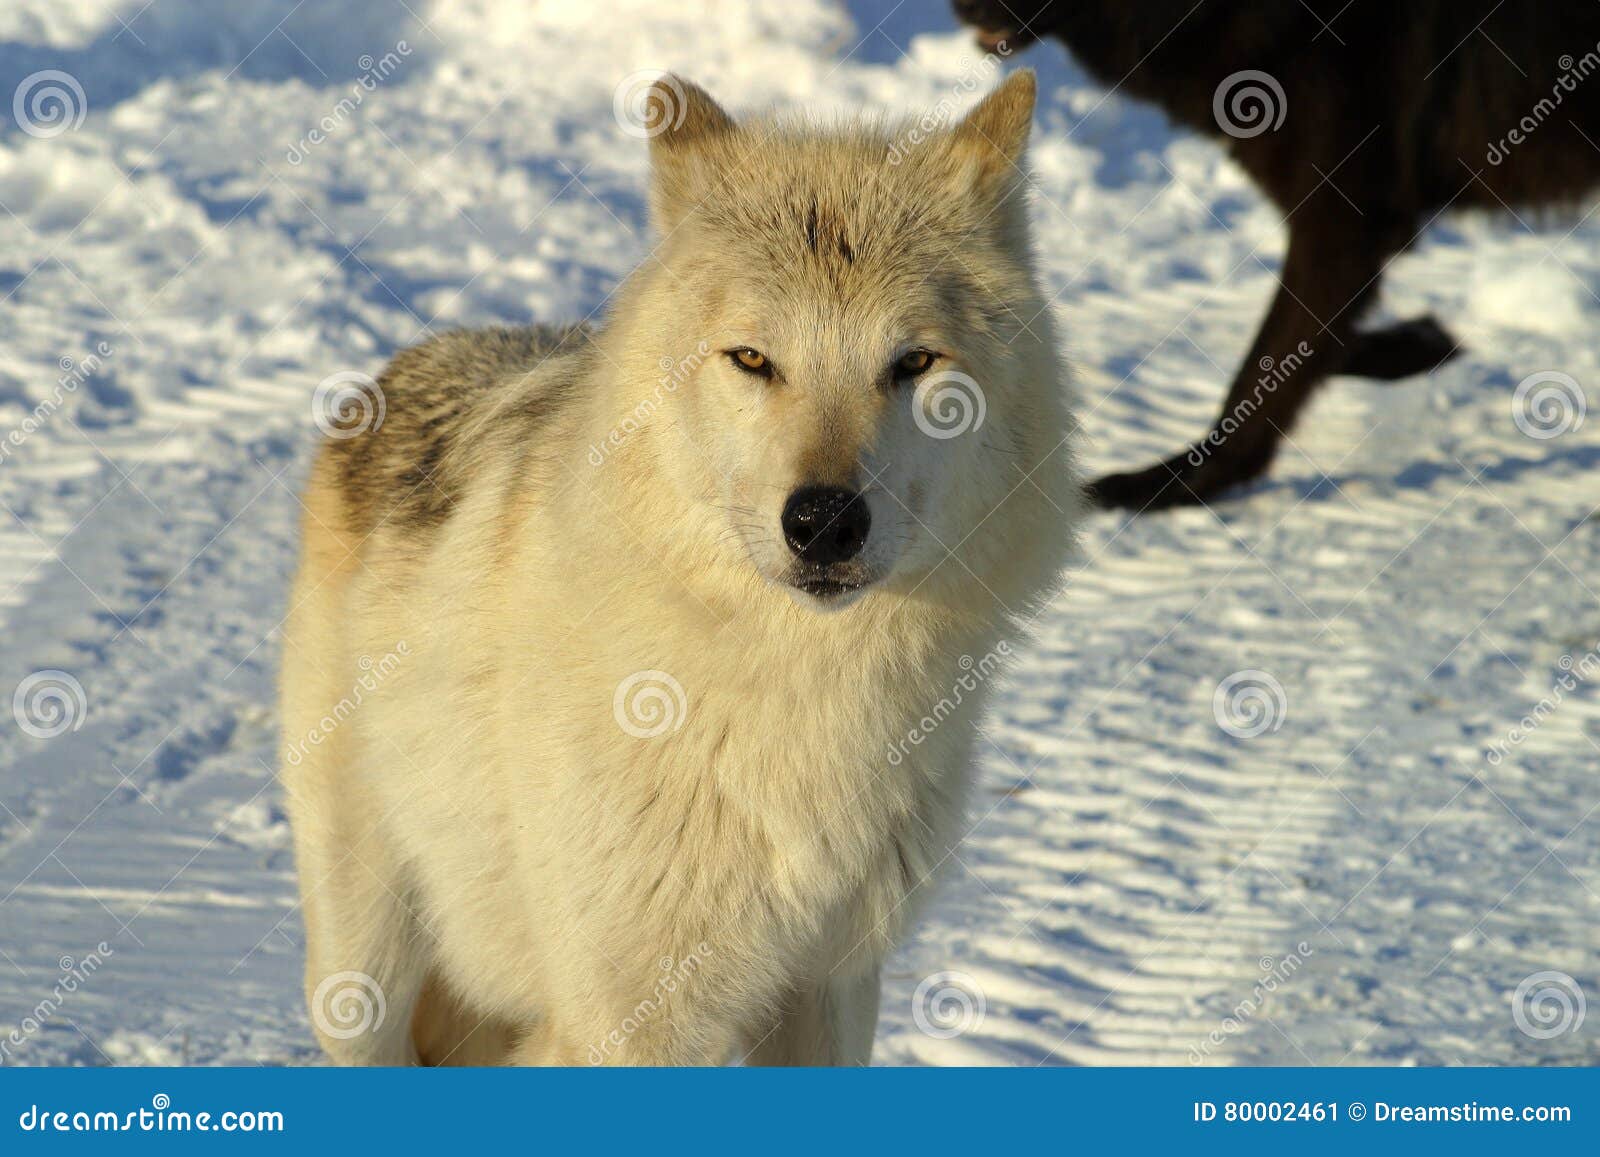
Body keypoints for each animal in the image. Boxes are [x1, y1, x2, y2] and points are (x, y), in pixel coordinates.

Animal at [279, 71, 1080, 1066]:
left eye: (914, 362)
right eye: (752, 359)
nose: (823, 521)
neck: (800, 695)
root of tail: (392, 373)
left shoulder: (831, 985)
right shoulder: (635, 1017)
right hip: (362, 977)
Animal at [954, 0, 1600, 510]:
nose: (962, 7)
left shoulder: (1339, 222)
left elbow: (1265, 365)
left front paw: (1180, 484)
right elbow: (1303, 350)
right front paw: (1419, 343)